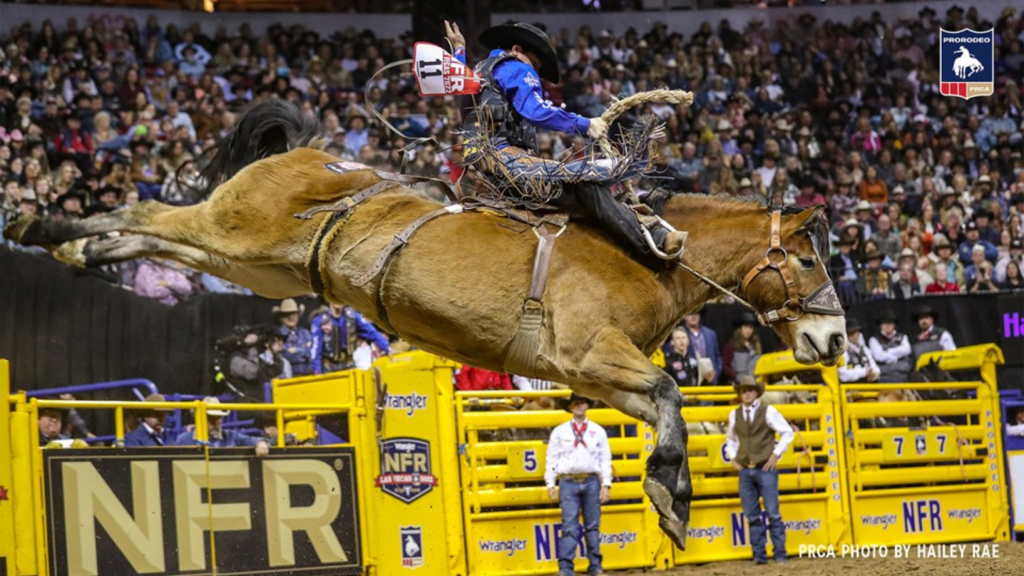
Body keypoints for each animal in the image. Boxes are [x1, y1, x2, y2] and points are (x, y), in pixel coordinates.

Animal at [3, 99, 847, 550]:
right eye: (809, 256)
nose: (836, 340)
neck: (650, 254)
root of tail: (314, 156)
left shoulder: (592, 374)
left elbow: (664, 406)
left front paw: (670, 496)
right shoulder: (593, 352)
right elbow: (672, 392)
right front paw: (673, 499)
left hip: (256, 262)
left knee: (149, 235)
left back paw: (77, 245)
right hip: (233, 234)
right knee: (149, 212)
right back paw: (44, 223)